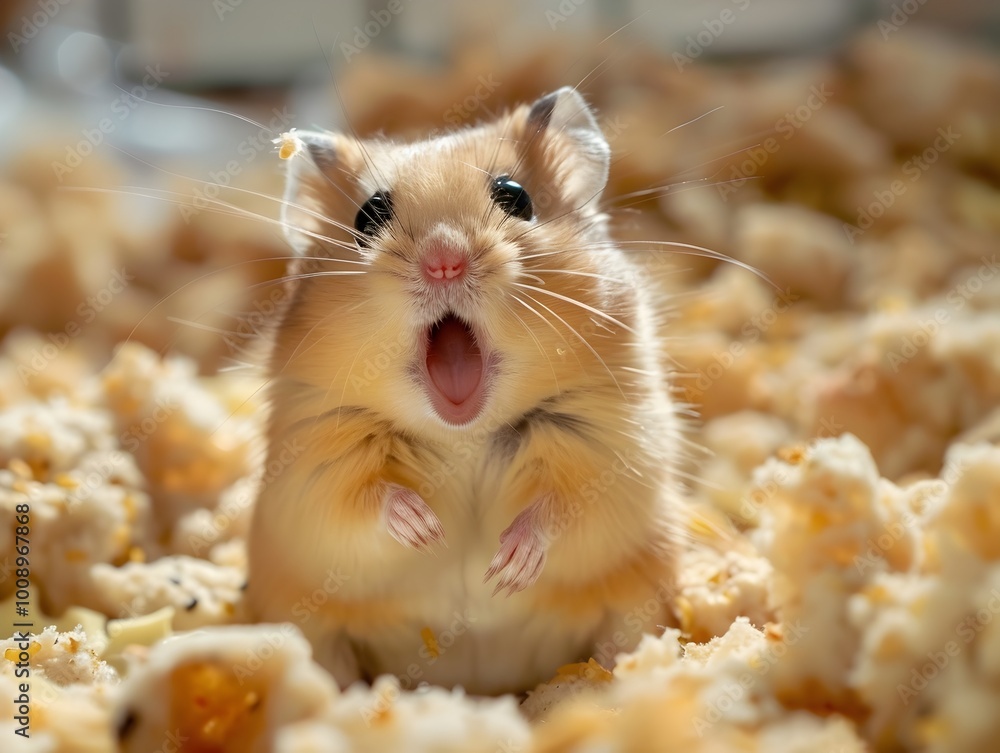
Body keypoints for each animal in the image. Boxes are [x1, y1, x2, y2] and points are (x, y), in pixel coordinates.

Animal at [246, 86, 682, 695]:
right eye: (368, 215)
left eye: (516, 198)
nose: (444, 262)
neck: (463, 432)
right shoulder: (312, 461)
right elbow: (359, 500)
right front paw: (427, 532)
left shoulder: (611, 452)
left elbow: (563, 508)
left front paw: (504, 571)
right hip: (308, 629)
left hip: (636, 605)